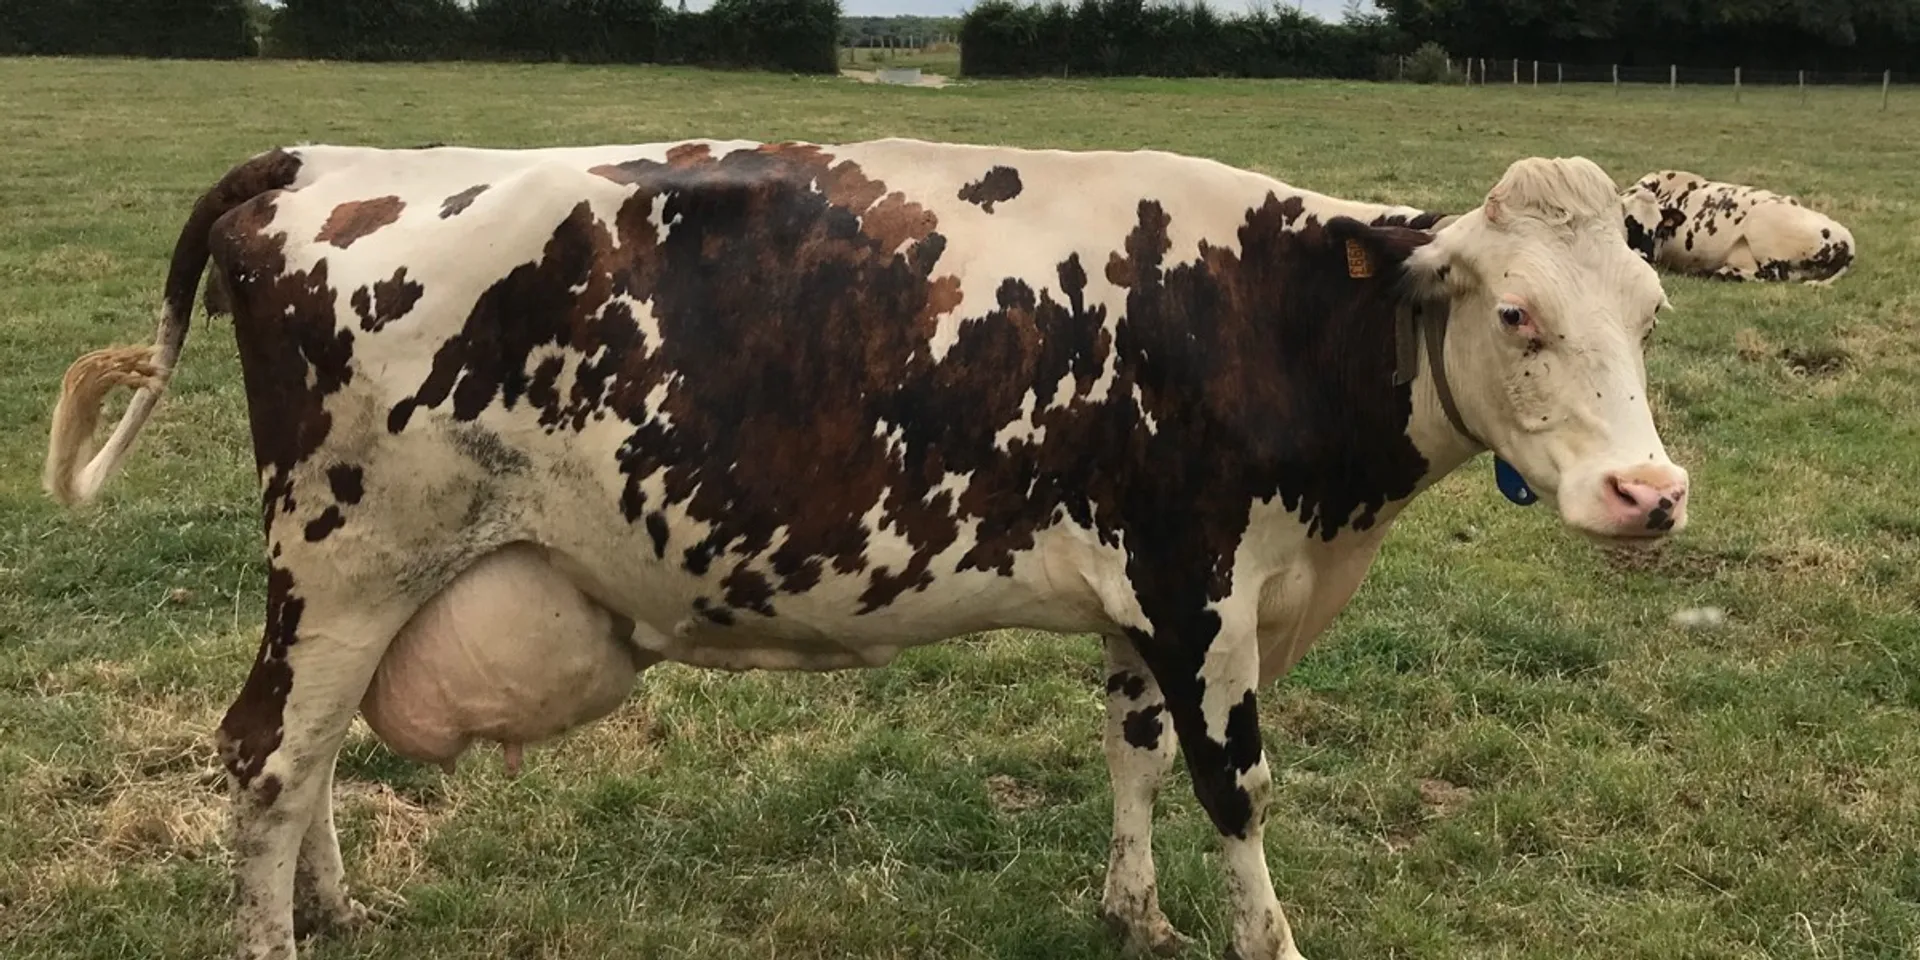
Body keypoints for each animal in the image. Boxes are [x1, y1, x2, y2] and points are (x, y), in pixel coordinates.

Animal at [43, 138, 1689, 960]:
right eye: (1515, 314)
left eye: (1652, 311)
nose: (1649, 493)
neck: (1261, 314)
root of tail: (314, 156)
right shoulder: (1199, 584)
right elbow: (1236, 785)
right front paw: (1262, 941)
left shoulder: (1142, 596)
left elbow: (1133, 748)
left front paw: (1133, 909)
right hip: (347, 552)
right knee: (267, 755)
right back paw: (275, 938)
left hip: (367, 579)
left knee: (311, 751)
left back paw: (334, 906)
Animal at [1620, 169, 1855, 284]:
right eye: (1629, 222)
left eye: (1659, 227)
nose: (1645, 257)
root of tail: (1848, 242)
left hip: (1761, 228)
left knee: (1774, 274)